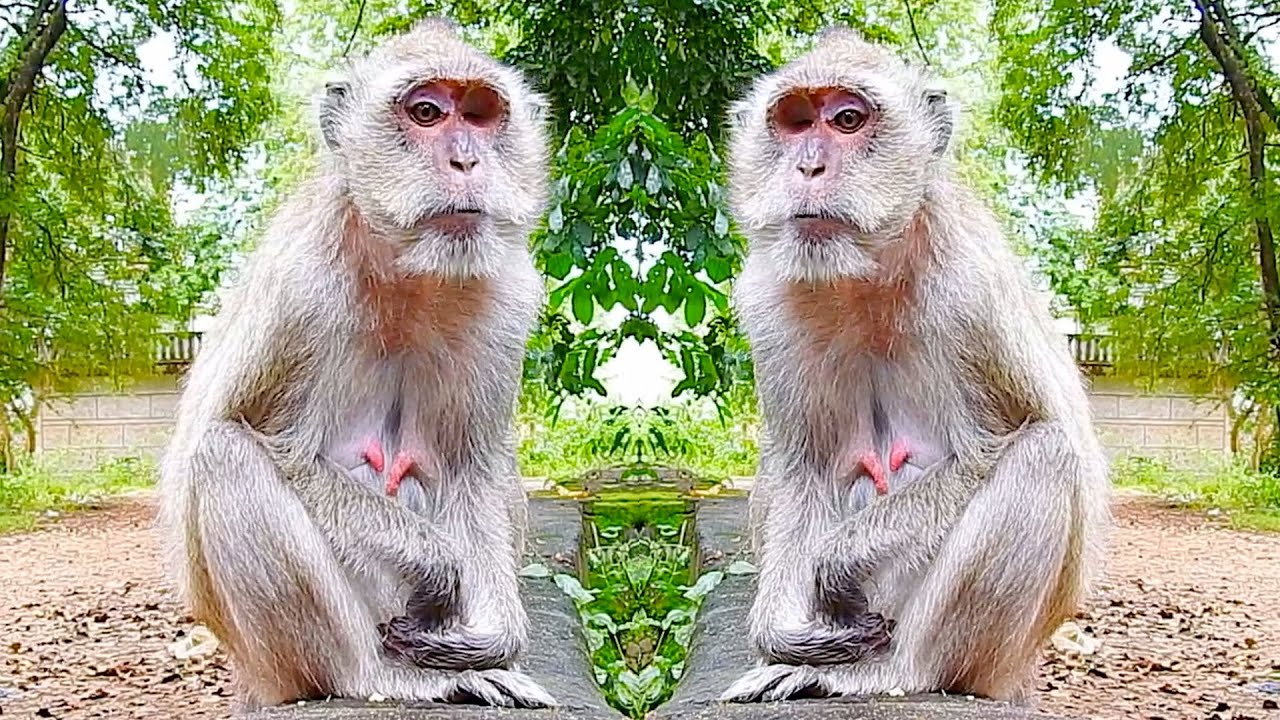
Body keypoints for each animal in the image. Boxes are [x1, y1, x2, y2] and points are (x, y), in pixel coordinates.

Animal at [156, 18, 557, 710]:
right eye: (426, 113)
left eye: (480, 115)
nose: (467, 160)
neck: (403, 270)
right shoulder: (301, 285)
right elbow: (275, 449)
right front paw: (437, 565)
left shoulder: (505, 295)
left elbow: (475, 467)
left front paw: (499, 634)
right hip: (281, 661)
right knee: (224, 457)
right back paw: (374, 675)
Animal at [718, 27, 1111, 704]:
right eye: (795, 122)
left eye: (848, 120)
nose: (808, 166)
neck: (869, 274)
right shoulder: (771, 300)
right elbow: (800, 468)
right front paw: (775, 631)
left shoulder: (969, 289)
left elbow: (996, 448)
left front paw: (837, 563)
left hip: (987, 657)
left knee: (1046, 457)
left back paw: (895, 672)